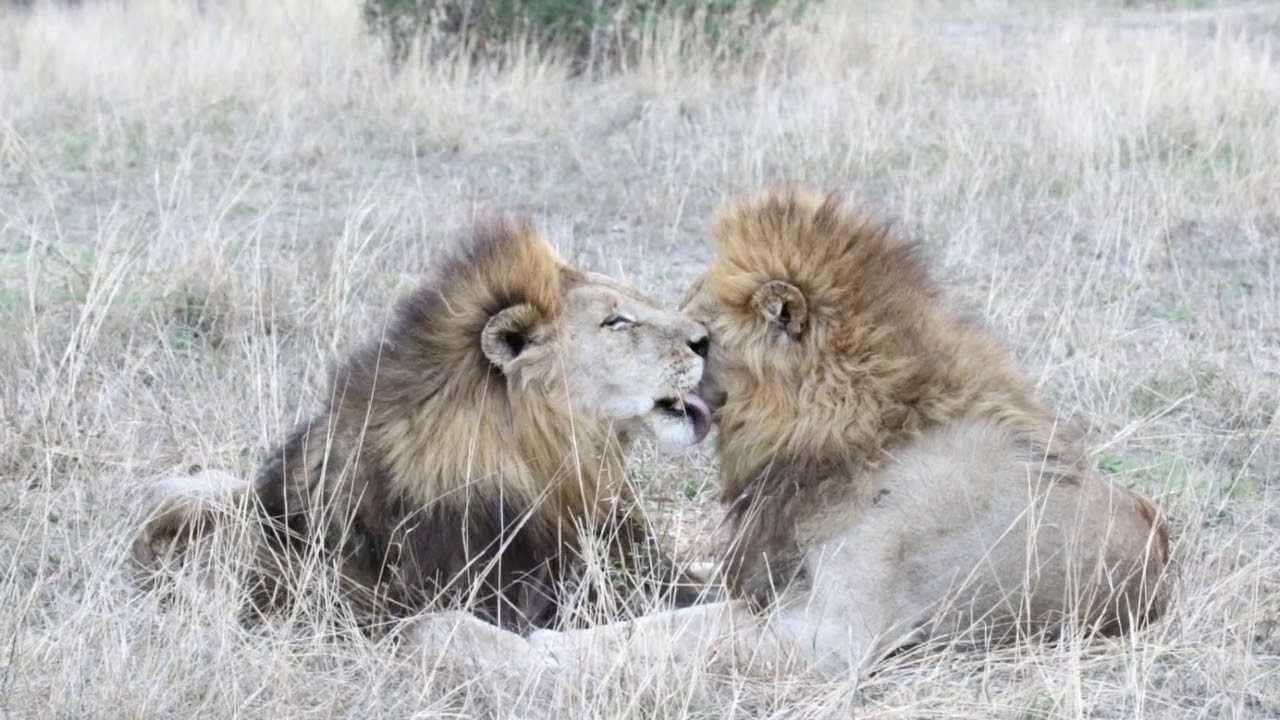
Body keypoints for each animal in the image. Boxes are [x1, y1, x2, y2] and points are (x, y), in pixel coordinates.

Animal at [407, 189, 1171, 679]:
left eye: (704, 336)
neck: (853, 431)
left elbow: (658, 635)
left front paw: (456, 635)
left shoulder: (834, 637)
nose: (682, 350)